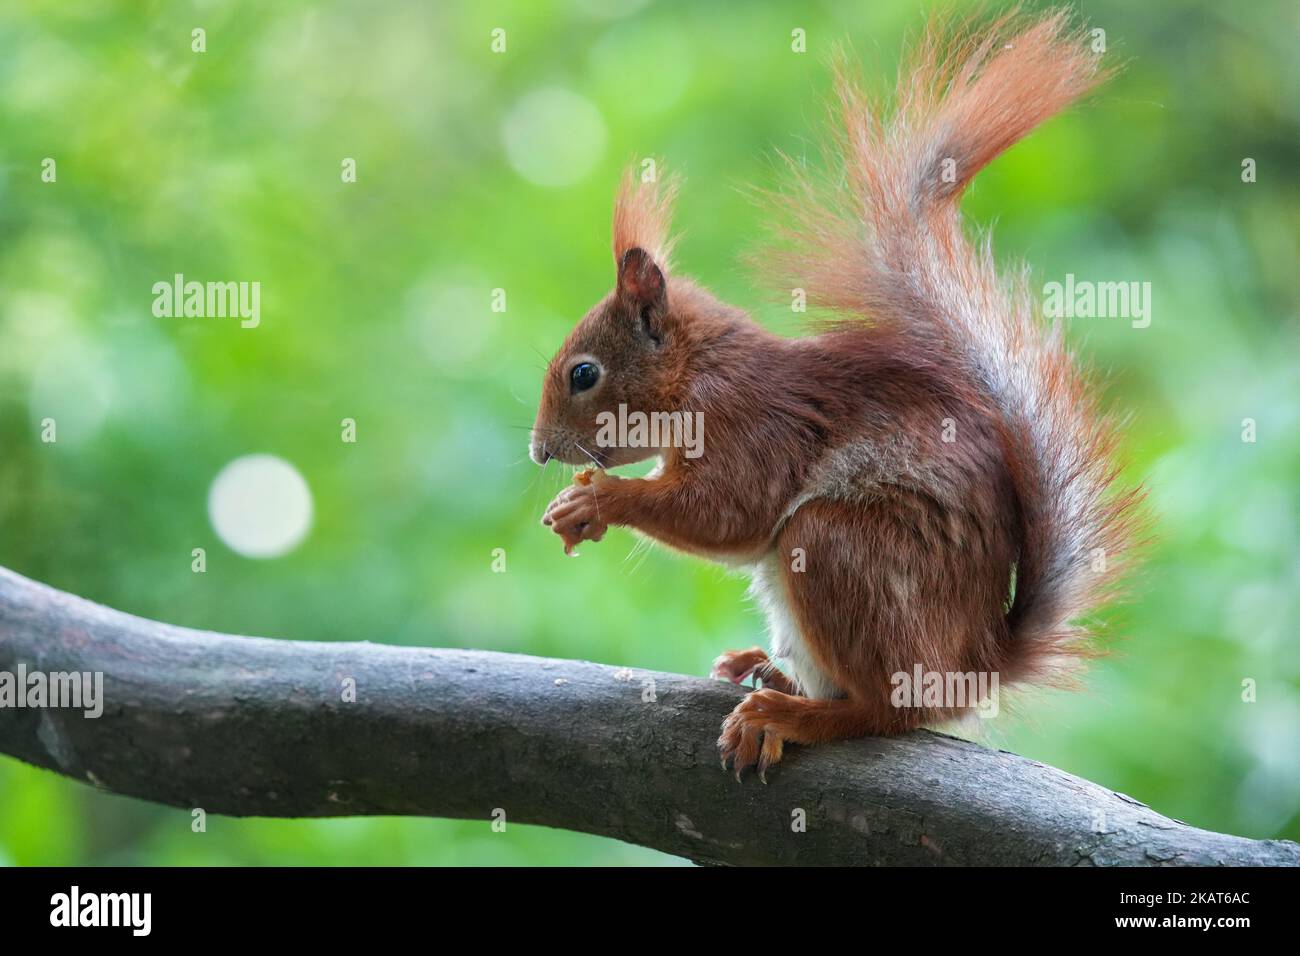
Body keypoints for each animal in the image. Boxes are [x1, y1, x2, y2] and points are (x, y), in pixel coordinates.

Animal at [530, 10, 1144, 780]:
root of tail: (972, 667)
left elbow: (726, 512)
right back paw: (769, 670)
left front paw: (599, 501)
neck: (699, 372)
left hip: (837, 551)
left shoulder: (753, 426)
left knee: (888, 709)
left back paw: (789, 713)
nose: (538, 450)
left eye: (584, 374)